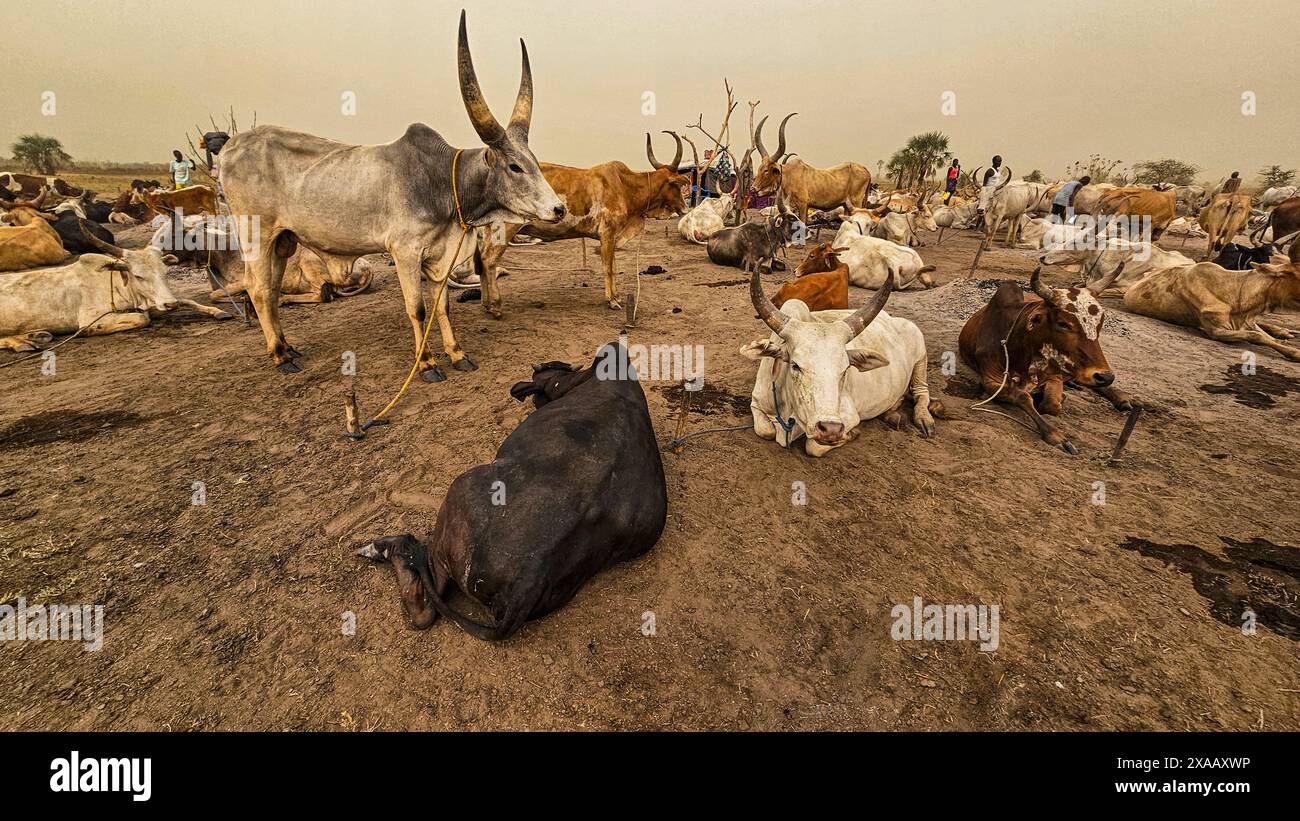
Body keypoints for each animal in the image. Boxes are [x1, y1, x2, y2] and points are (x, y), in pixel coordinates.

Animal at [0, 226, 231, 351]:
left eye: (165, 272)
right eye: (138, 275)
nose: (169, 304)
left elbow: (187, 300)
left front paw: (218, 312)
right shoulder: (92, 316)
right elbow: (142, 319)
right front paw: (90, 330)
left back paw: (33, 337)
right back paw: (24, 342)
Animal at [219, 12, 565, 377]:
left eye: (534, 162)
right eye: (514, 166)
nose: (558, 209)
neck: (441, 183)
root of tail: (230, 148)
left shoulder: (440, 257)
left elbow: (442, 306)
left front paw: (457, 354)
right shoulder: (405, 253)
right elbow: (418, 308)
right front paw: (427, 363)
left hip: (283, 241)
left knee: (272, 290)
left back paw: (288, 348)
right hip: (256, 234)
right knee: (258, 290)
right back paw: (280, 357)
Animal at [742, 272, 937, 457]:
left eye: (845, 370)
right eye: (795, 365)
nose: (830, 428)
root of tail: (892, 318)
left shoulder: (849, 416)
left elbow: (813, 446)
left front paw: (852, 433)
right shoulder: (756, 403)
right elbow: (765, 430)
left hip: (921, 353)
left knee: (921, 391)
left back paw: (925, 417)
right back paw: (893, 413)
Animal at [959, 267, 1129, 454]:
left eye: (1100, 324)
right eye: (1063, 323)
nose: (1106, 376)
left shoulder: (1053, 376)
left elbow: (1051, 404)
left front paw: (1059, 399)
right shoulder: (991, 380)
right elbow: (1023, 397)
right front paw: (1055, 435)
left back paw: (1121, 398)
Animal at [1106, 239, 1300, 361]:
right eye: (1296, 274)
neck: (1236, 291)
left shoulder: (1247, 322)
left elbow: (1265, 335)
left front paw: (1289, 347)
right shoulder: (1216, 331)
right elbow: (1256, 336)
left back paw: (1284, 331)